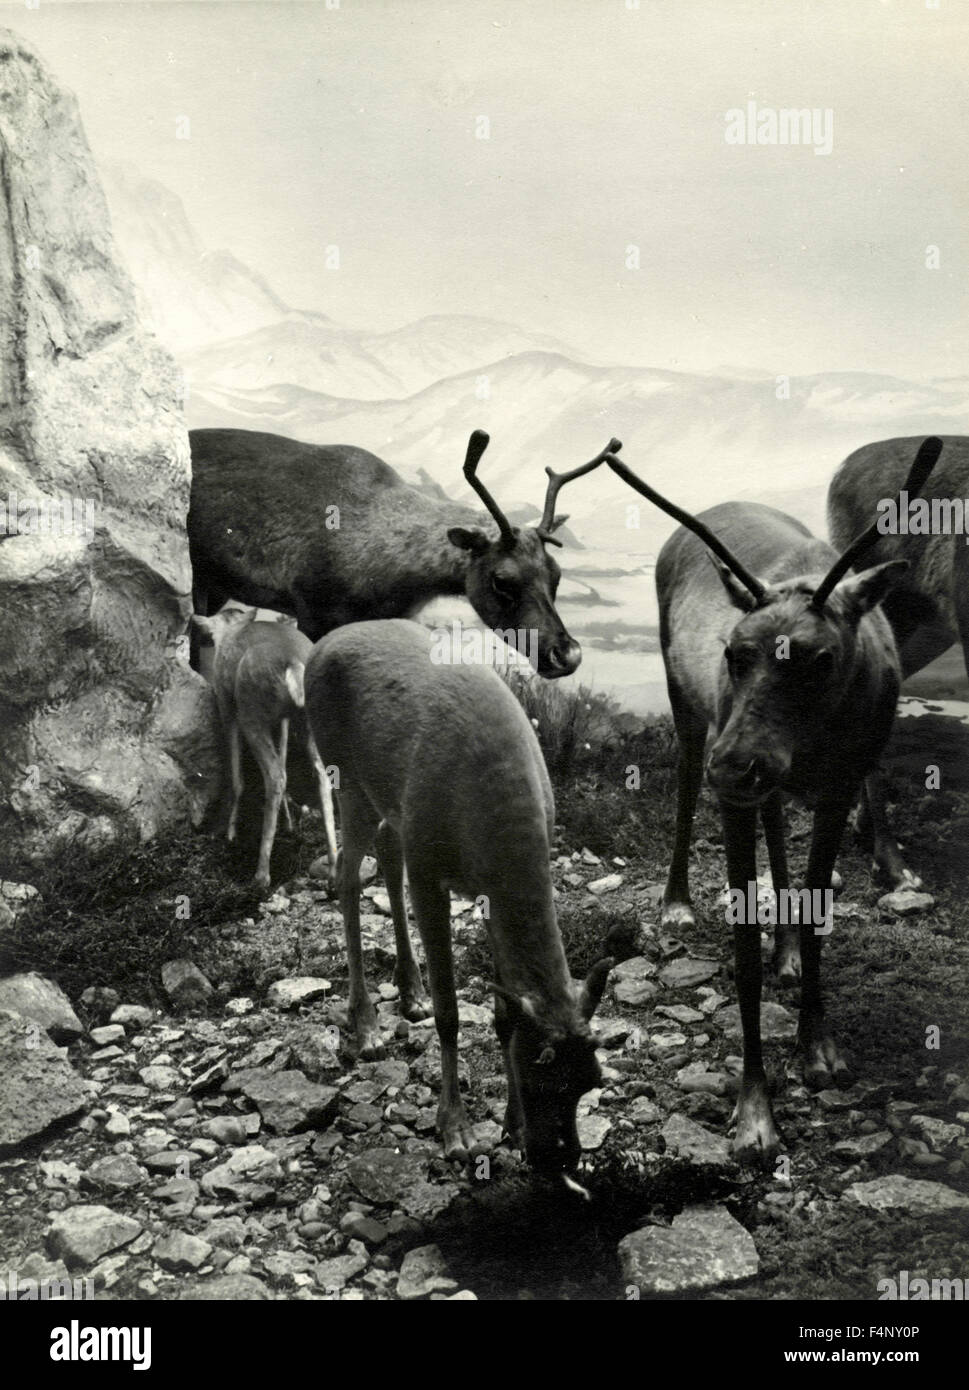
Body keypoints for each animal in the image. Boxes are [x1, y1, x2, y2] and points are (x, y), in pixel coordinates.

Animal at [192, 602, 338, 892]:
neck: (230, 630)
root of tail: (294, 663)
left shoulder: (227, 705)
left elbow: (236, 774)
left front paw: (228, 832)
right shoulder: (282, 720)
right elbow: (284, 756)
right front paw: (289, 823)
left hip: (252, 712)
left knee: (275, 776)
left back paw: (261, 875)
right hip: (308, 720)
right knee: (321, 774)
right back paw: (333, 871)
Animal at [303, 617, 612, 1178]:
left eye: (590, 1082)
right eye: (543, 1079)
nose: (559, 1162)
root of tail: (321, 646)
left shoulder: (489, 891)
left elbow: (505, 1013)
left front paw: (512, 1126)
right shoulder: (432, 874)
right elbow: (452, 1014)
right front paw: (457, 1132)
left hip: (391, 800)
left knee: (388, 848)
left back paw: (411, 991)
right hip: (346, 773)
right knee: (349, 875)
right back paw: (367, 1023)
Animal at [605, 437, 942, 1164]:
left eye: (818, 659)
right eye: (735, 652)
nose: (734, 766)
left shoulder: (837, 783)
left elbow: (817, 909)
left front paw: (819, 1045)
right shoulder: (734, 771)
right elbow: (740, 947)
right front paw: (754, 1114)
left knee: (773, 817)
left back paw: (783, 951)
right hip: (687, 711)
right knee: (686, 786)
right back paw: (676, 902)